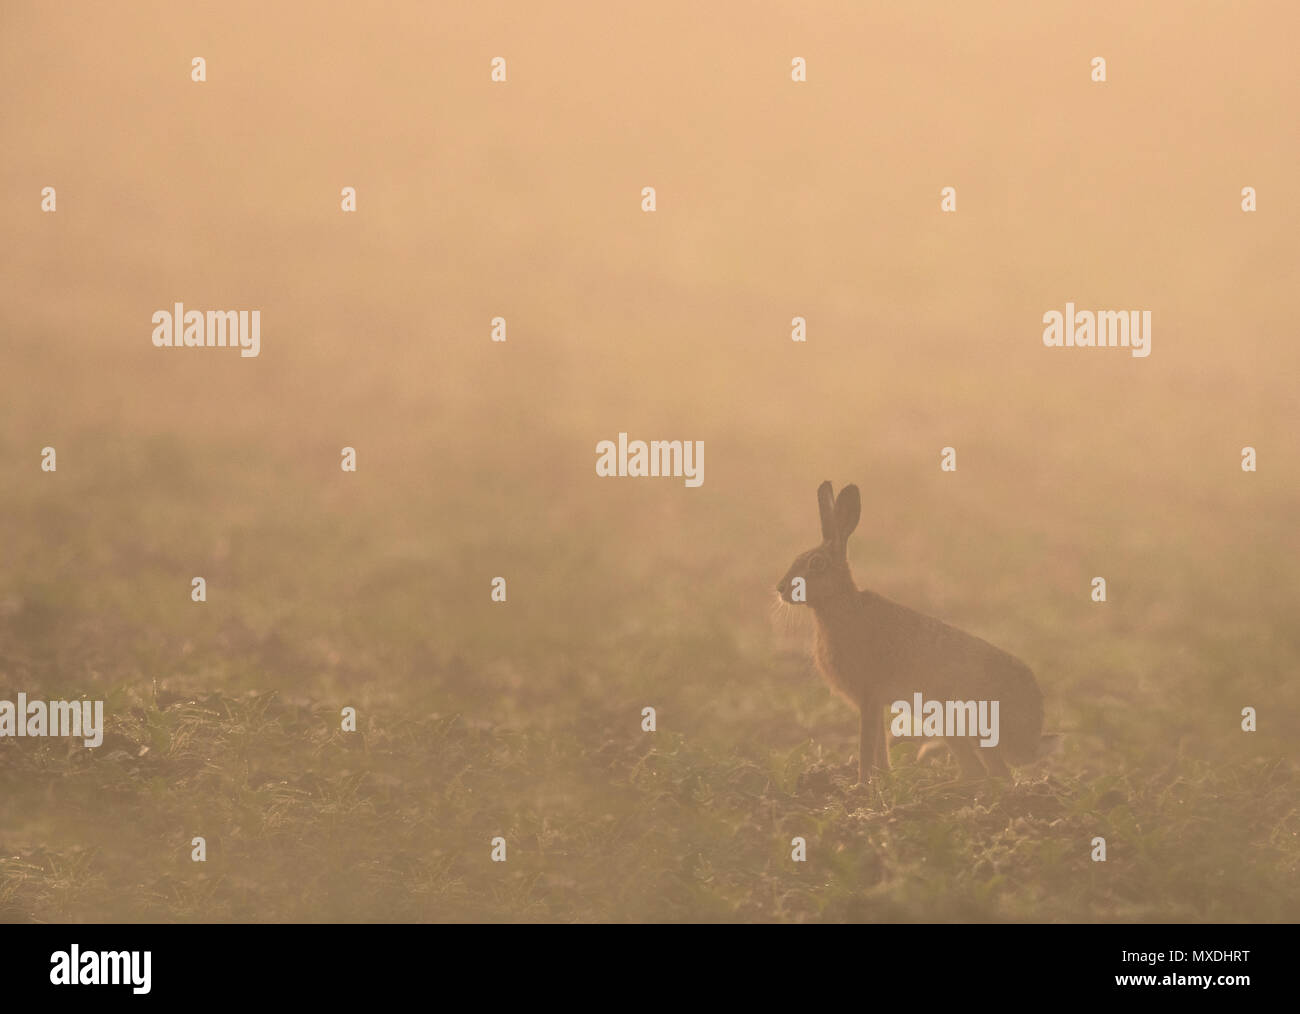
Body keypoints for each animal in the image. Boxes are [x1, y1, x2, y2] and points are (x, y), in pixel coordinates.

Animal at [776, 480, 1053, 785]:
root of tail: (1031, 737)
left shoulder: (869, 695)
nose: (781, 588)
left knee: (989, 774)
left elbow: (866, 746)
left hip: (960, 719)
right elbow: (879, 745)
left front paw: (861, 785)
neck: (840, 605)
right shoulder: (873, 702)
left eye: (816, 564)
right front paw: (883, 778)